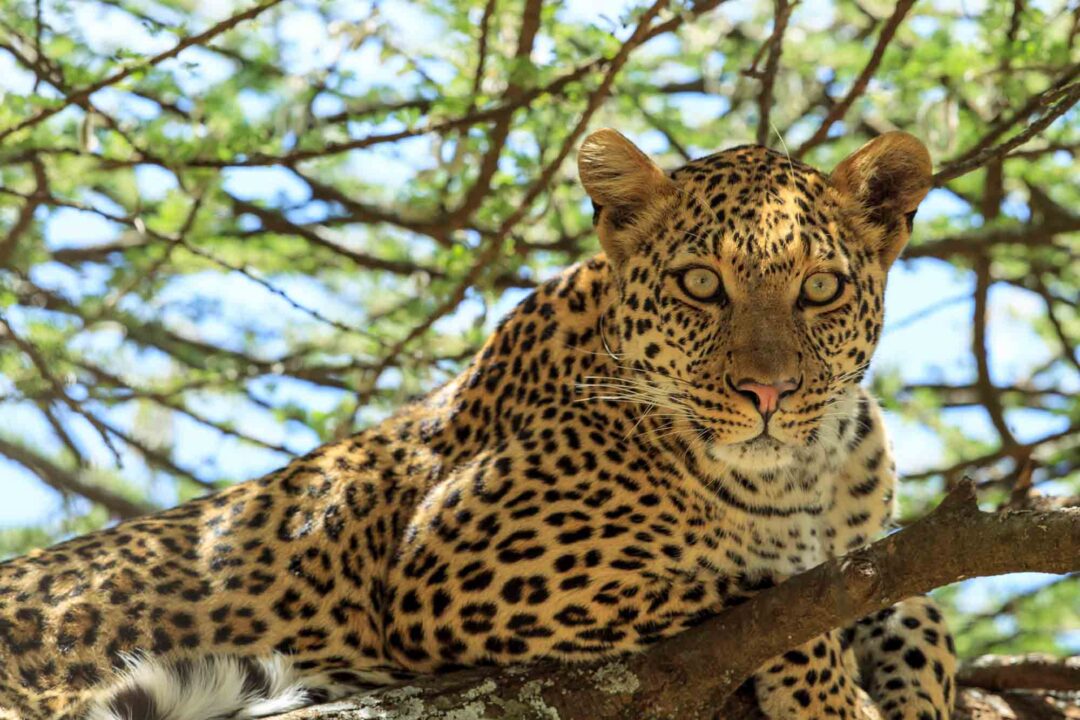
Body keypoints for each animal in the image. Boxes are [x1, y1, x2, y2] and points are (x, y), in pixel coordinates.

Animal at [0, 128, 956, 720]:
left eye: (820, 289)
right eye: (700, 284)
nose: (769, 392)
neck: (801, 473)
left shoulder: (874, 547)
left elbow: (919, 612)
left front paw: (919, 687)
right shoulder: (453, 572)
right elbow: (762, 587)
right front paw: (831, 696)